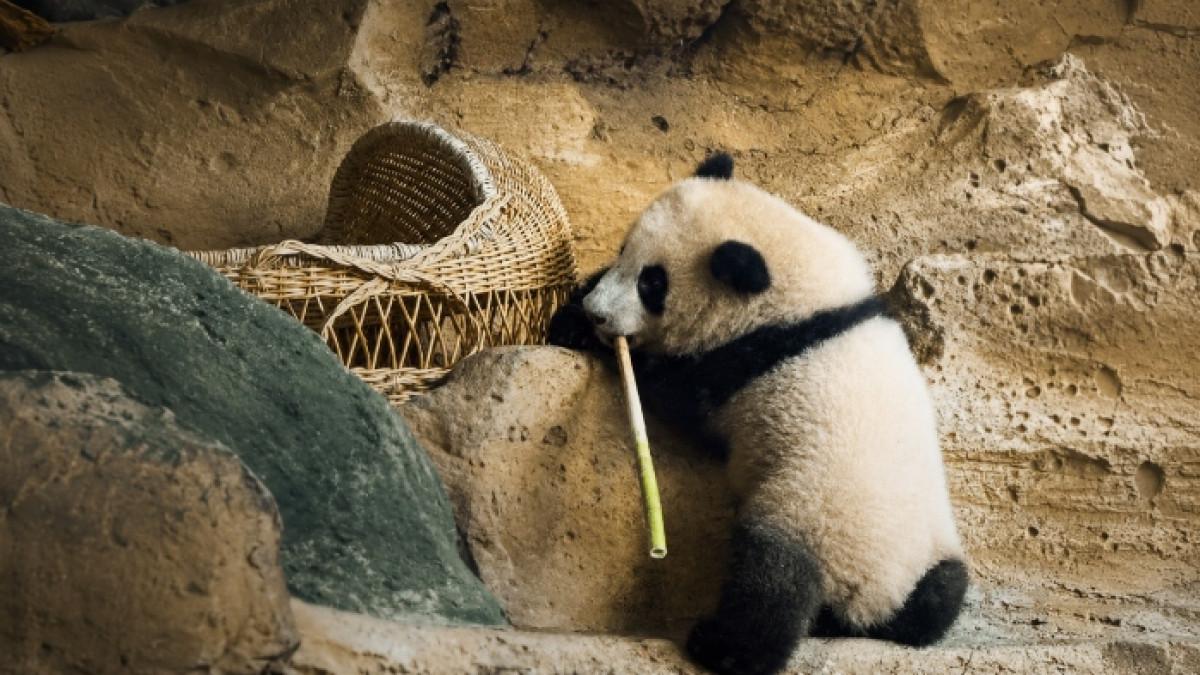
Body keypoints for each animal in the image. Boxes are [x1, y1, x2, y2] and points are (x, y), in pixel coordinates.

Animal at [548, 154, 968, 675]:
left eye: (652, 284)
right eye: (625, 248)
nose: (599, 313)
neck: (812, 305)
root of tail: (875, 599)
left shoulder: (745, 364)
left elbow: (678, 394)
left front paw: (583, 331)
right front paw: (576, 305)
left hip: (806, 510)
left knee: (771, 585)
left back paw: (722, 646)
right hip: (933, 550)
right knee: (943, 596)